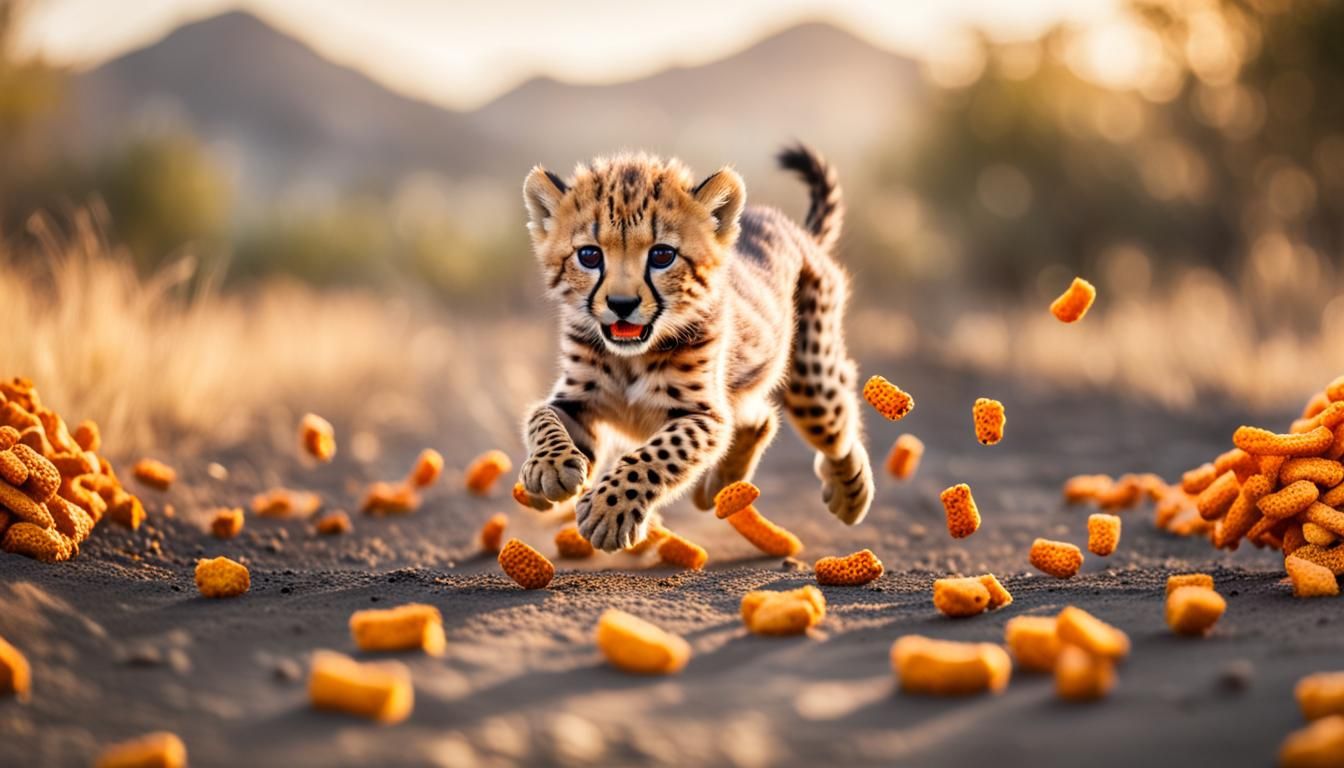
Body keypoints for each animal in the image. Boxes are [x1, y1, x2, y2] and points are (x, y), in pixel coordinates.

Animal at [517, 143, 874, 552]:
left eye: (662, 256)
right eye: (590, 256)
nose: (622, 304)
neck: (630, 357)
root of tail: (795, 230)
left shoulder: (703, 413)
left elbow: (657, 454)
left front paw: (610, 511)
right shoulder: (578, 398)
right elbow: (542, 417)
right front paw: (548, 468)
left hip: (810, 383)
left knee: (835, 427)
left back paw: (850, 496)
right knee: (761, 418)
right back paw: (718, 487)